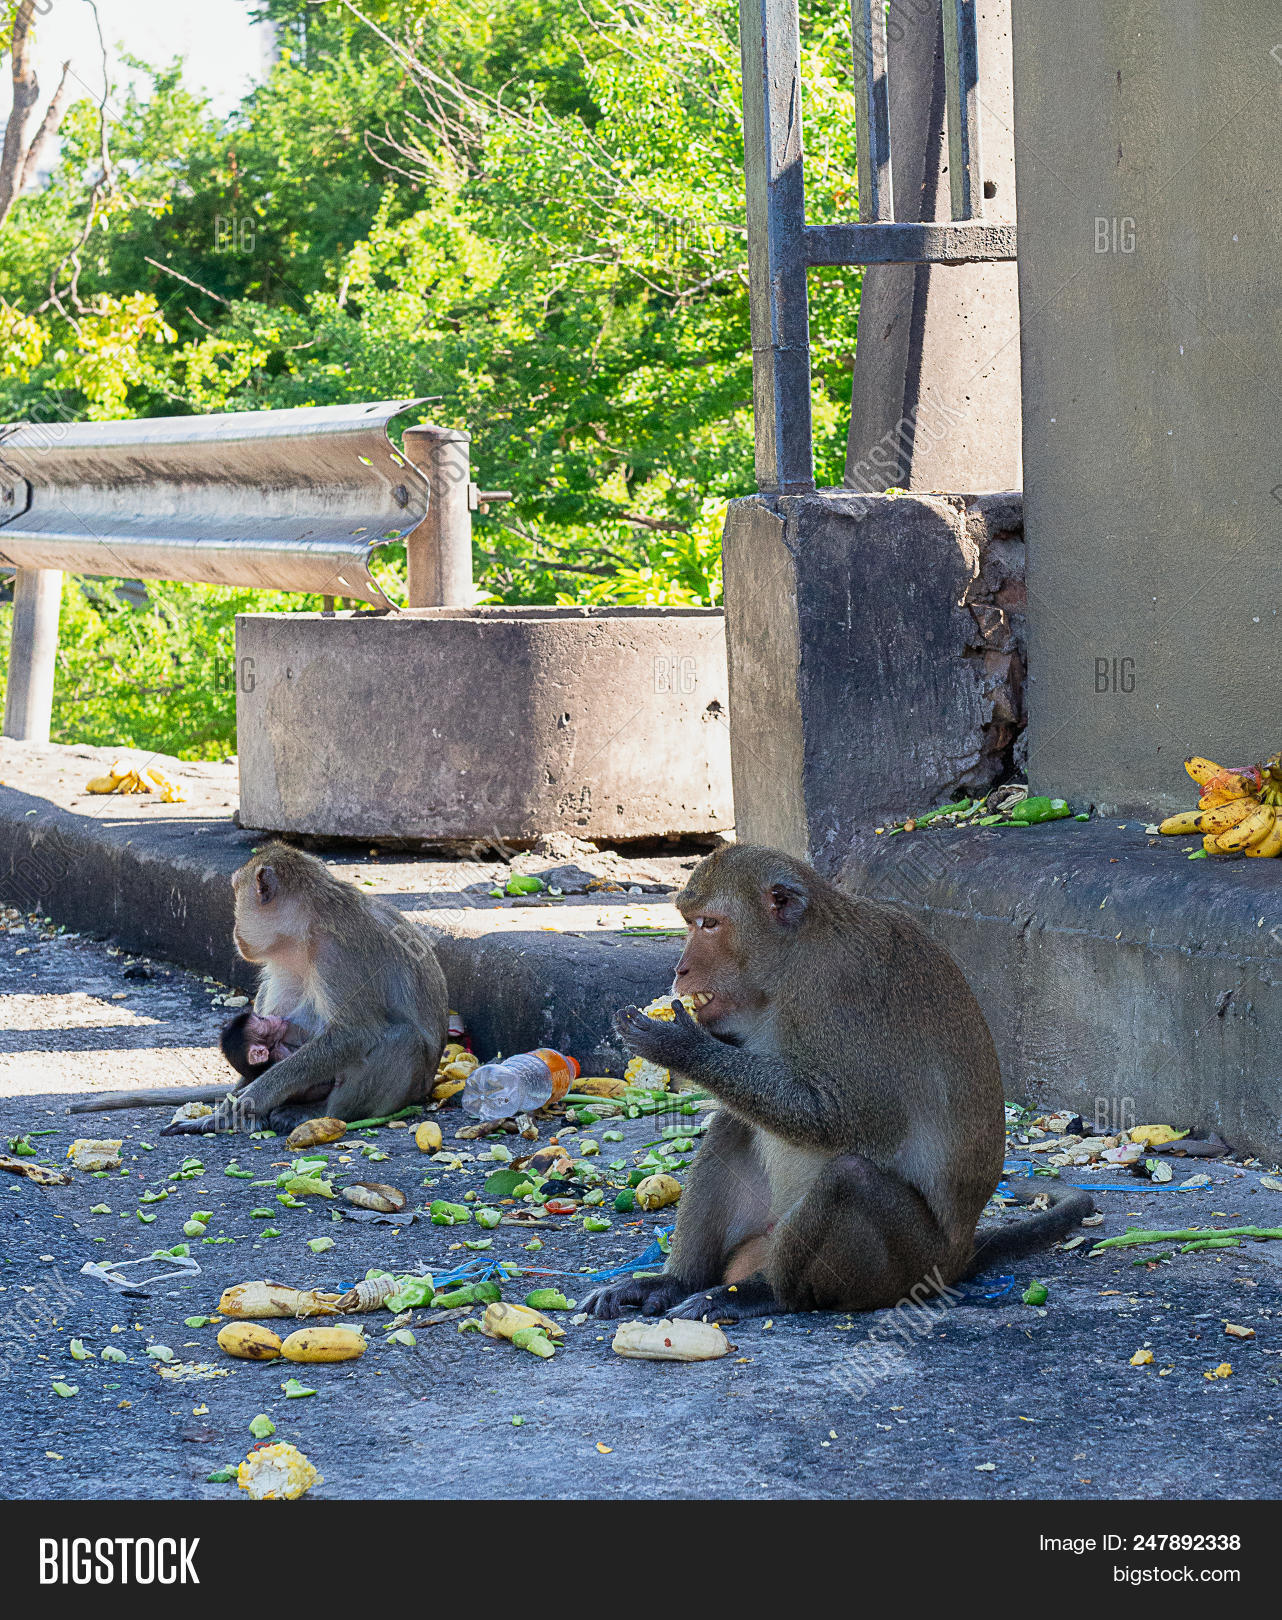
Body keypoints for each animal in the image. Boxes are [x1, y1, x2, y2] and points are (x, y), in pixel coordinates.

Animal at [159, 842, 448, 1135]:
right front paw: (222, 1112)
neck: (307, 929)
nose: (235, 931)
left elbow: (354, 1033)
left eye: (237, 893)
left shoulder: (336, 954)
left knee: (403, 1038)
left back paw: (320, 1112)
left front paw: (255, 1096)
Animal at [581, 843, 1092, 1323]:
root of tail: (960, 1253)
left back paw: (762, 1294)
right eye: (689, 922)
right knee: (734, 1123)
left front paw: (679, 1047)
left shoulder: (841, 988)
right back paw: (678, 1282)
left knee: (849, 1179)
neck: (794, 958)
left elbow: (851, 1116)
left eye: (709, 924)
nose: (680, 969)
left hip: (911, 1262)